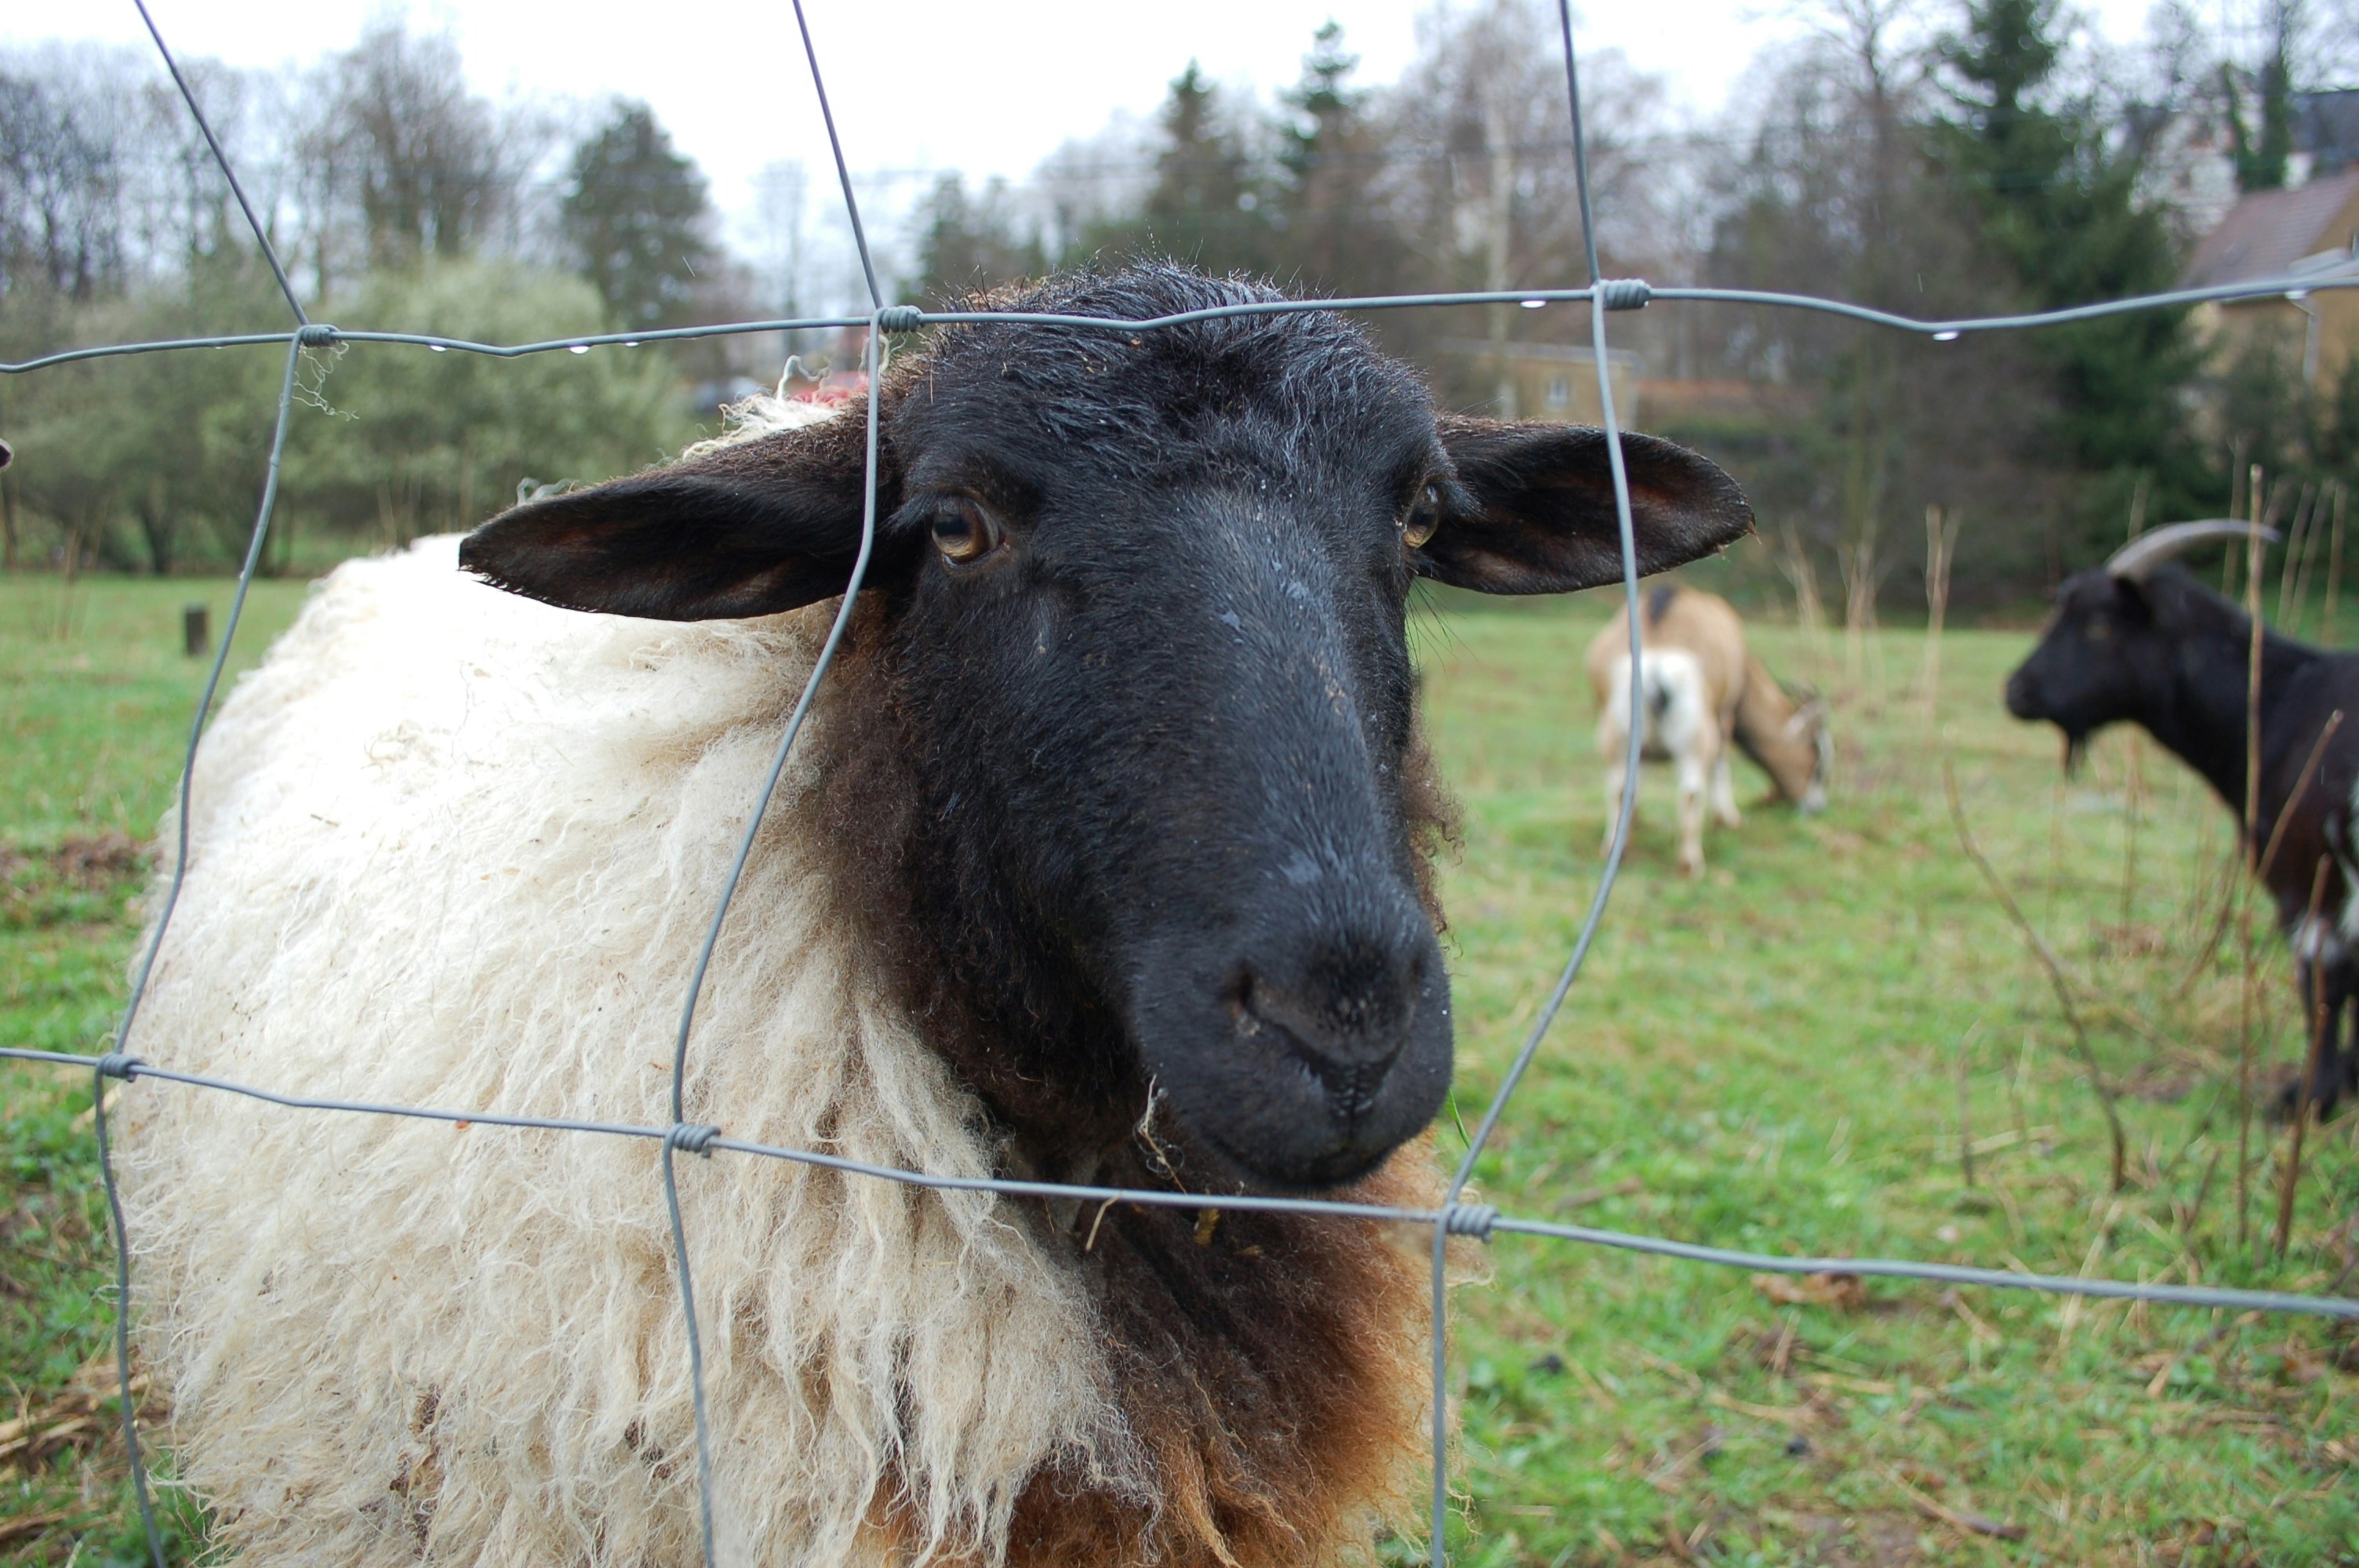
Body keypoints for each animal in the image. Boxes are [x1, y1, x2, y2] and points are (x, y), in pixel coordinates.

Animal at [1584, 584, 1827, 876]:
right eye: (1817, 762)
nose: (1817, 807)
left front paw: (1637, 821)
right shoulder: (1724, 713)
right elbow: (1722, 761)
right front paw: (1728, 819)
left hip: (1617, 733)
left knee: (1619, 787)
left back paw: (1615, 849)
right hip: (1696, 736)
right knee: (1691, 791)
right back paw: (1691, 863)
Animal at [2003, 519, 2359, 1116]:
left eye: (2098, 625)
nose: (2017, 692)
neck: (2279, 704)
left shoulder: (2308, 878)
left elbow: (2323, 987)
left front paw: (2308, 1100)